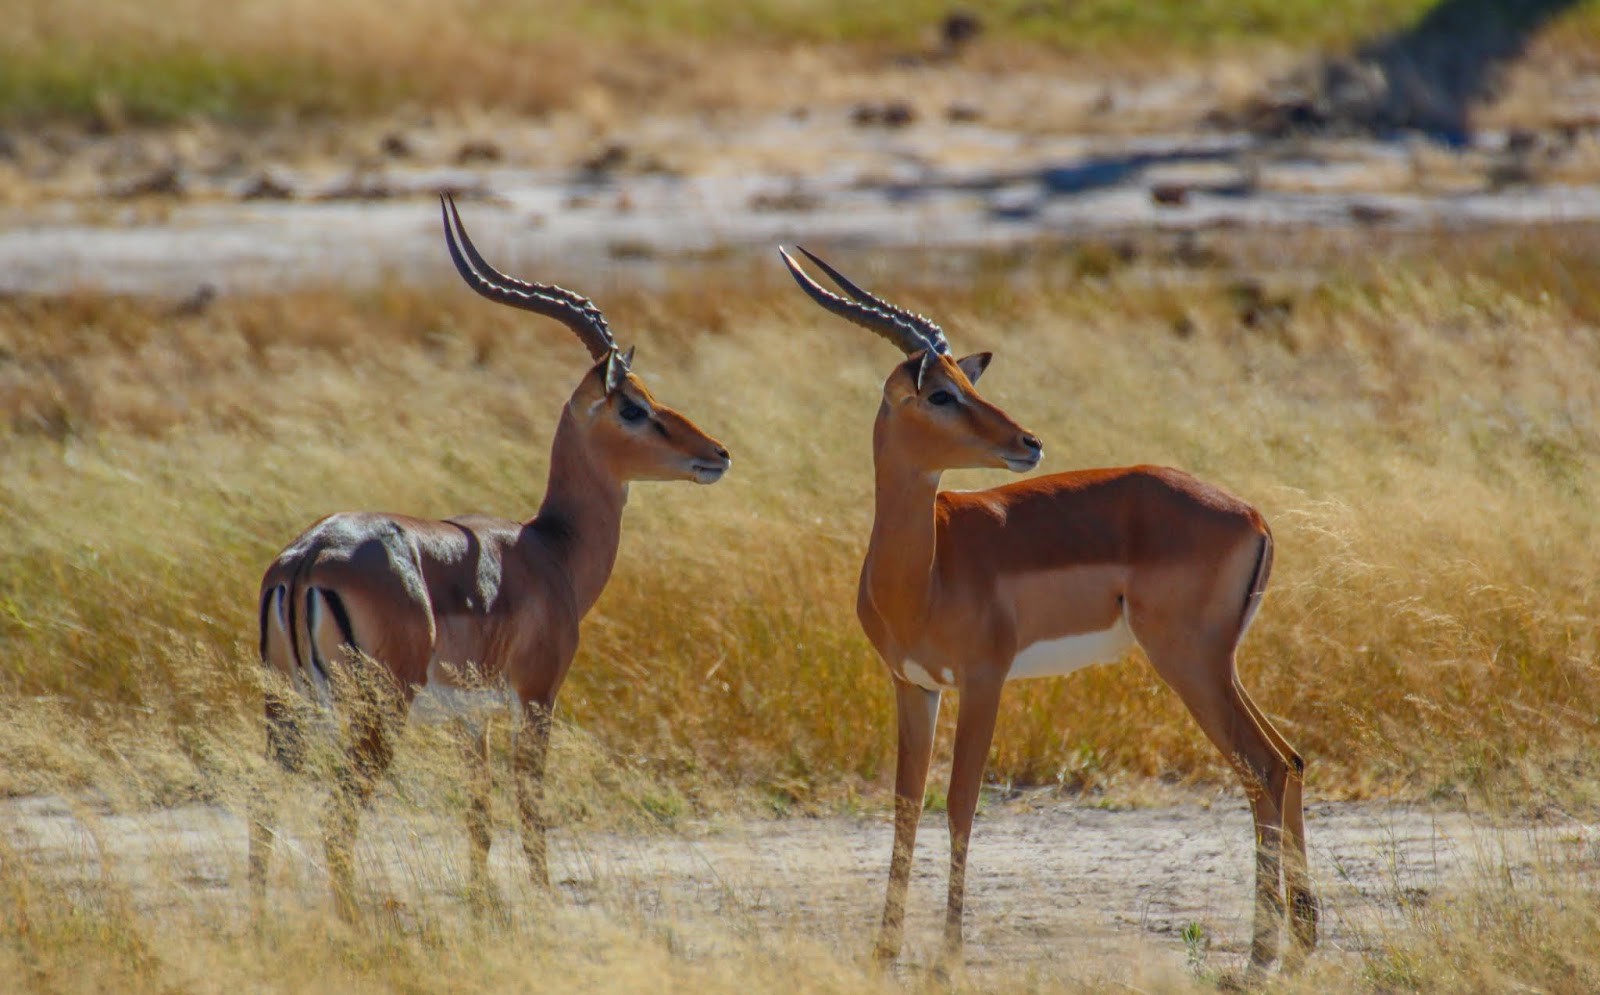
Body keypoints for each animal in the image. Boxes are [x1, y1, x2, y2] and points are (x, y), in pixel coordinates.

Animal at [248, 195, 731, 918]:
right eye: (634, 406)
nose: (717, 454)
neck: (548, 548)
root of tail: (308, 557)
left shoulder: (467, 720)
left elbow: (477, 817)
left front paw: (482, 908)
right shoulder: (537, 698)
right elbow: (530, 806)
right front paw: (545, 901)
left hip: (289, 707)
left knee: (260, 805)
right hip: (375, 712)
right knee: (336, 816)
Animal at [779, 247, 1316, 975]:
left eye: (964, 383)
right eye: (941, 393)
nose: (1029, 441)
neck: (924, 572)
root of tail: (1254, 516)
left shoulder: (984, 681)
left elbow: (960, 803)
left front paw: (947, 956)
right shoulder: (913, 686)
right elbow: (905, 805)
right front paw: (883, 950)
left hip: (1189, 664)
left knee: (1261, 767)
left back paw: (1260, 956)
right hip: (1217, 665)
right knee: (1288, 760)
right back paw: (1302, 940)